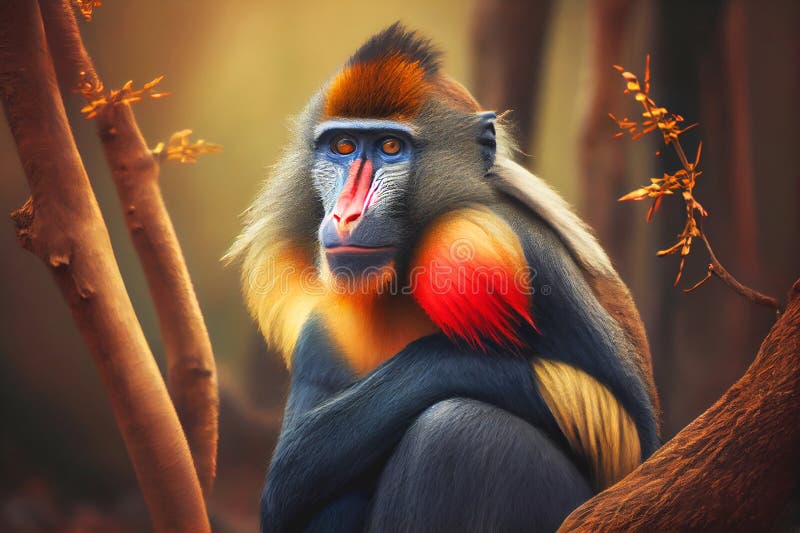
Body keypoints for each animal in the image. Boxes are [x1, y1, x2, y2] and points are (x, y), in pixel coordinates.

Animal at [227, 23, 660, 533]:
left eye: (391, 148)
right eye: (343, 146)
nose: (346, 214)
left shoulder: (493, 245)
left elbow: (612, 418)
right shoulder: (324, 325)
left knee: (452, 430)